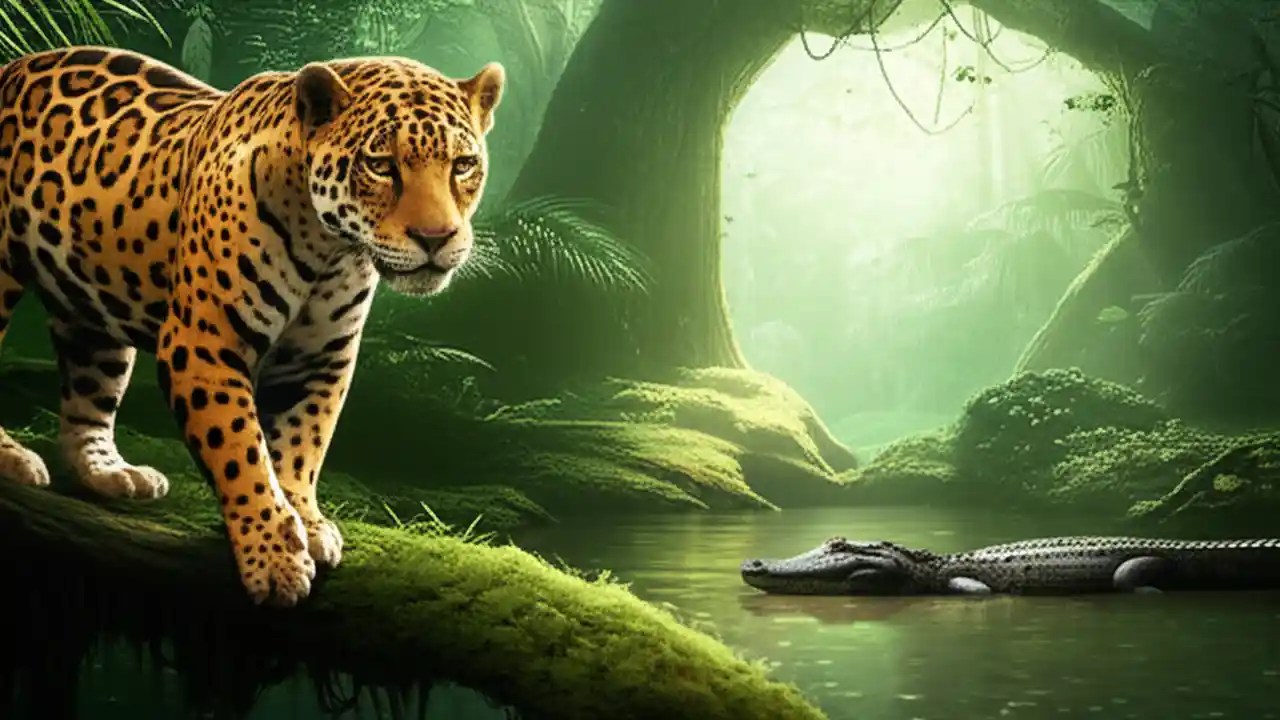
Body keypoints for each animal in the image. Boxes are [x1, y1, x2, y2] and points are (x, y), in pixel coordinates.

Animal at [0, 46, 504, 607]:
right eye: (380, 166)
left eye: (463, 166)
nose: (437, 238)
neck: (330, 249)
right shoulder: (205, 345)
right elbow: (241, 450)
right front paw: (273, 554)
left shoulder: (319, 360)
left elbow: (301, 447)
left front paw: (306, 520)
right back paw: (12, 460)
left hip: (91, 303)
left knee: (88, 399)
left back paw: (112, 474)